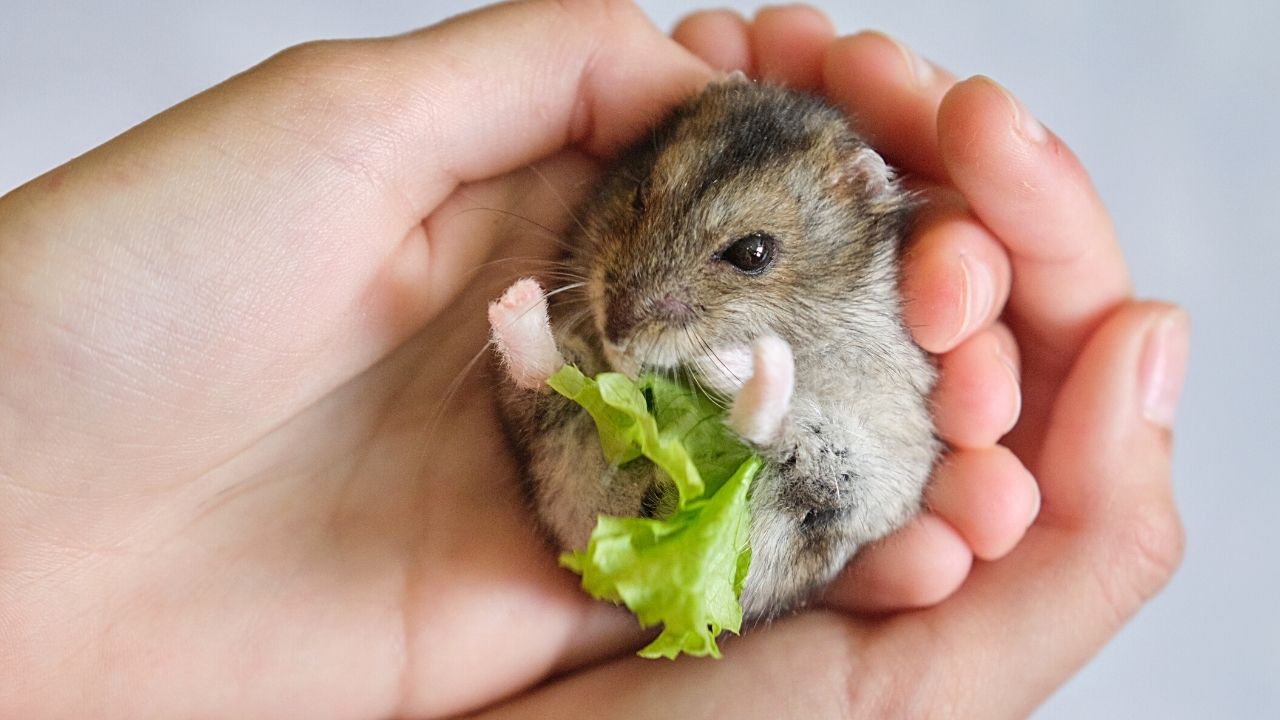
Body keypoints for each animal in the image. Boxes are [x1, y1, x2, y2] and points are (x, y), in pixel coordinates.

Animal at [487, 78, 940, 620]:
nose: (615, 333)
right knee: (544, 379)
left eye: (753, 252)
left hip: (859, 478)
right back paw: (516, 304)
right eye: (640, 192)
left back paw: (742, 365)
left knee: (786, 443)